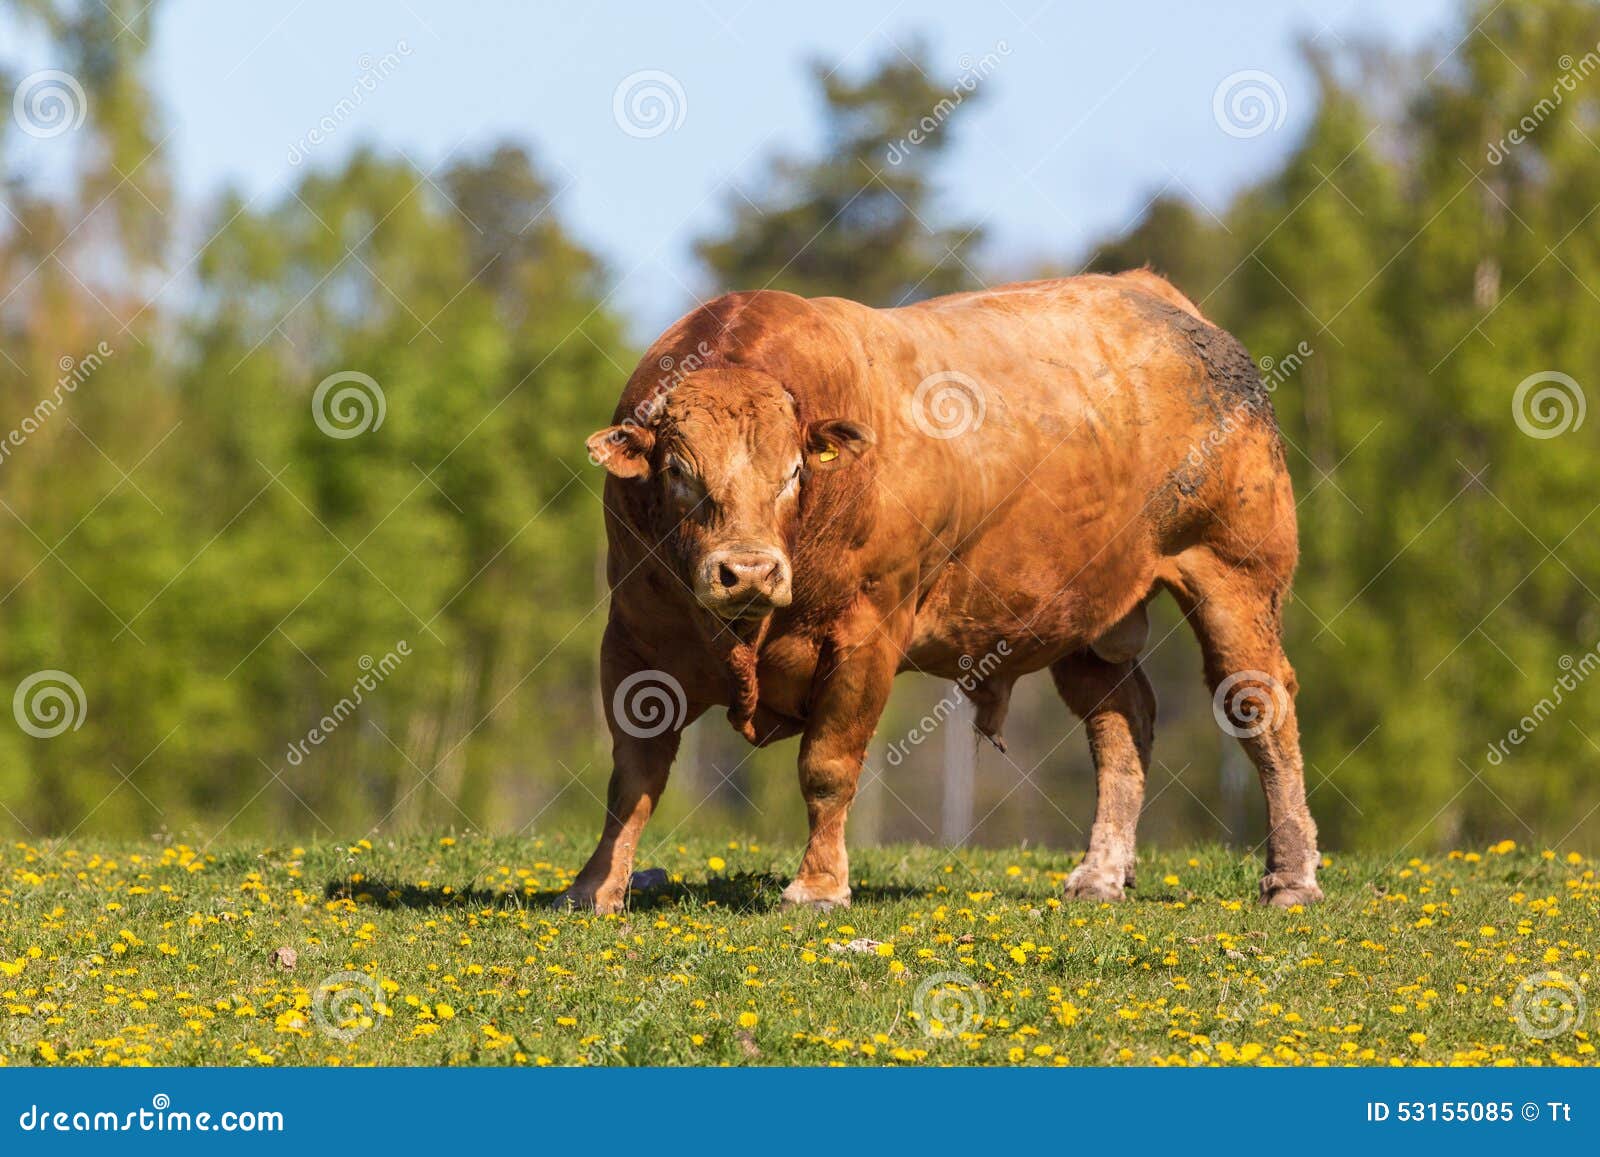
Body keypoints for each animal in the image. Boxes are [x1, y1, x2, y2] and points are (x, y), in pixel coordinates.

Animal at [560, 271, 1321, 913]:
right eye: (679, 472)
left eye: (794, 471)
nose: (748, 571)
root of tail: (1164, 300)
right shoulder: (631, 638)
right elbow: (634, 773)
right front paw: (595, 886)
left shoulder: (866, 635)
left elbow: (828, 766)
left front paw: (817, 887)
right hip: (1089, 613)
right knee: (1120, 720)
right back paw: (1101, 873)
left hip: (1236, 575)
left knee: (1260, 703)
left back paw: (1291, 877)